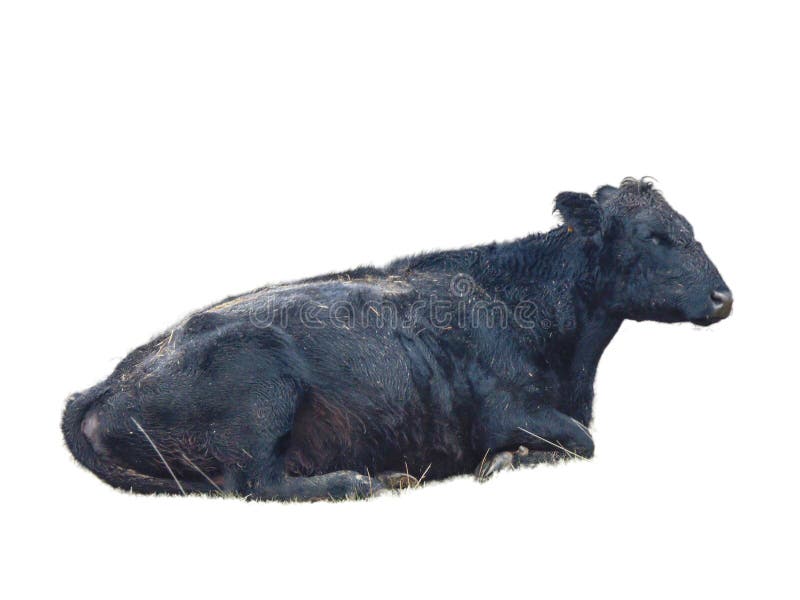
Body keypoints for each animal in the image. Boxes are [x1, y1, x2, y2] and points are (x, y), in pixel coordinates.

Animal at [62, 178, 733, 501]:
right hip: (262, 383)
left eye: (689, 228)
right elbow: (583, 442)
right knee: (251, 484)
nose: (724, 298)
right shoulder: (503, 412)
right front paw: (508, 461)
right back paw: (360, 482)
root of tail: (108, 381)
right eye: (653, 236)